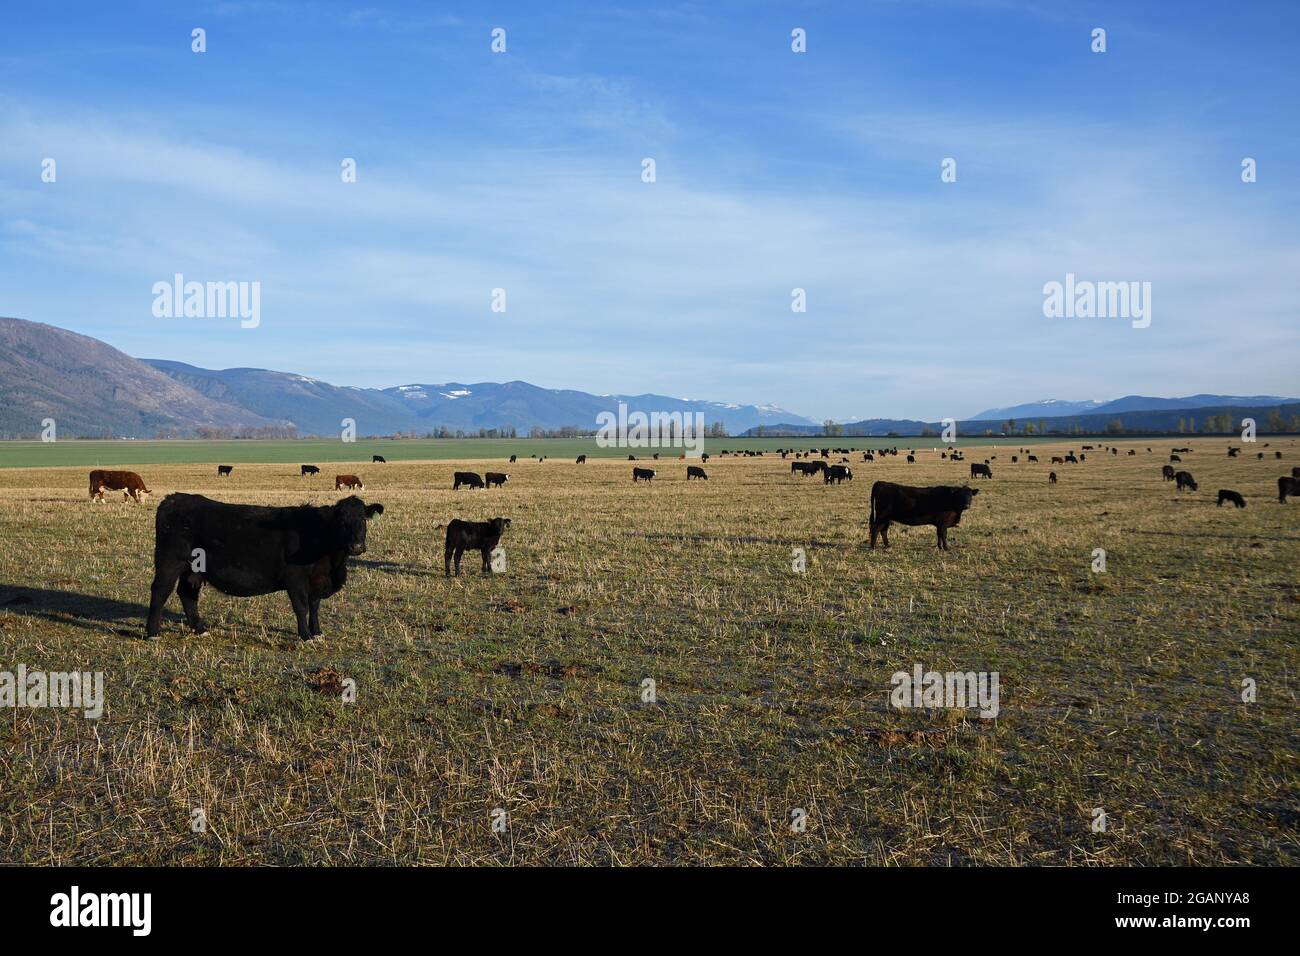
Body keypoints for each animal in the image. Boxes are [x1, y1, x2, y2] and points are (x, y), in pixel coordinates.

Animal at [145, 493, 383, 640]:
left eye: (363, 520)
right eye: (342, 521)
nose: (356, 546)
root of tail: (173, 498)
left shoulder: (317, 580)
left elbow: (315, 606)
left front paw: (317, 632)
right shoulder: (295, 579)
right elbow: (302, 607)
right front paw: (305, 636)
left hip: (192, 570)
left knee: (187, 594)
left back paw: (201, 629)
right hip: (169, 562)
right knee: (160, 591)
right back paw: (152, 633)